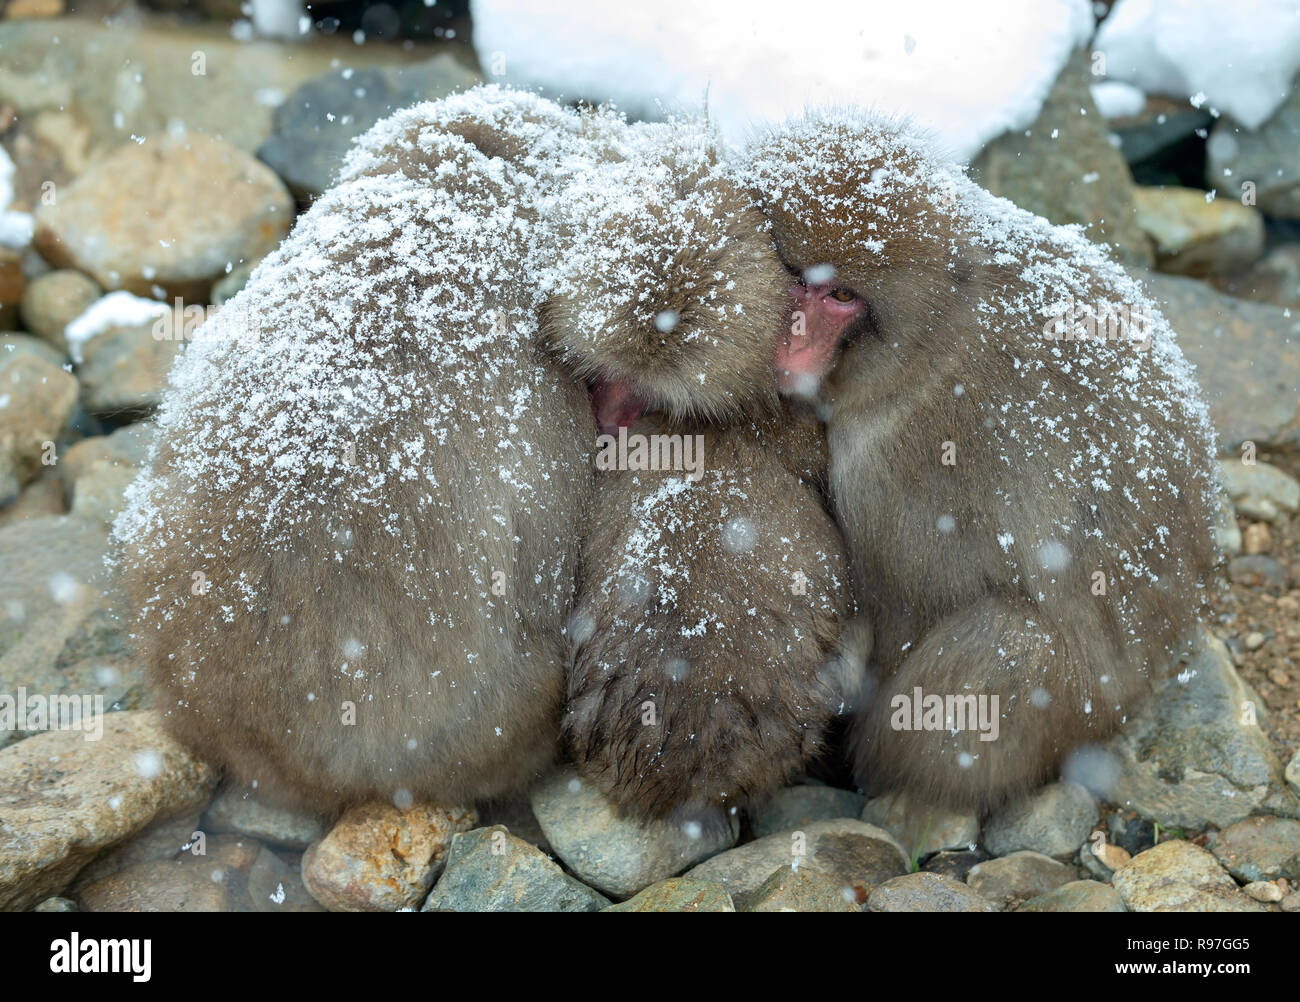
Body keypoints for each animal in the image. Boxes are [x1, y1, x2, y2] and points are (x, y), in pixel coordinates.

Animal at [745, 111, 1219, 813]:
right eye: (796, 274)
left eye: (842, 295)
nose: (790, 342)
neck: (928, 341)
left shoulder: (892, 470)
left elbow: (912, 604)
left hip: (1064, 710)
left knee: (1008, 644)